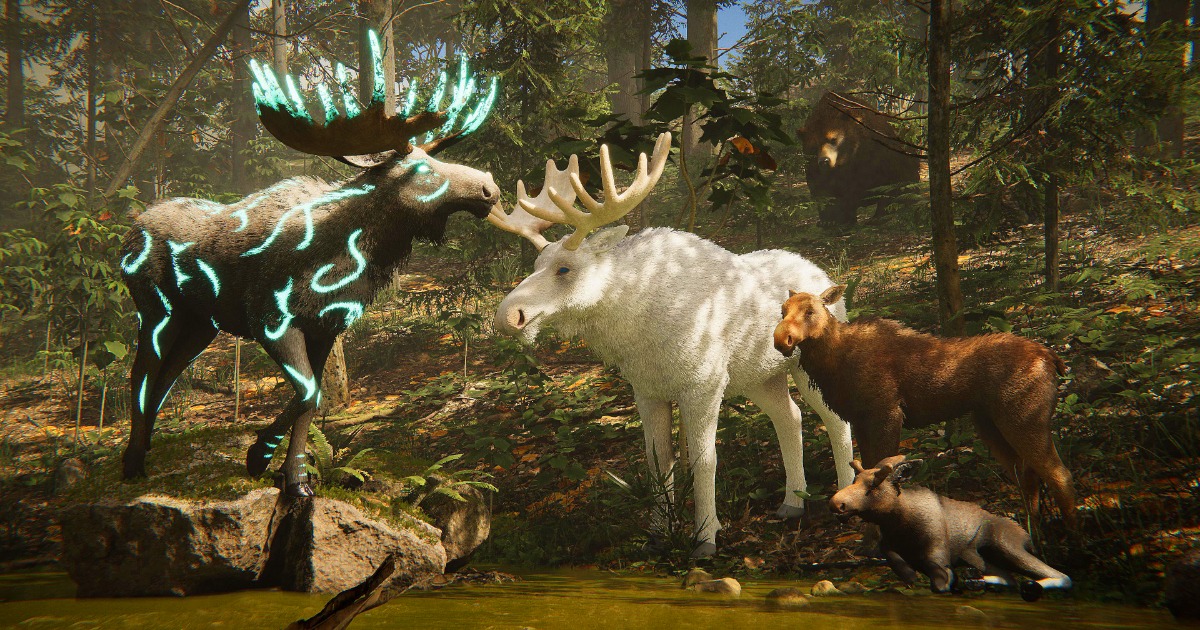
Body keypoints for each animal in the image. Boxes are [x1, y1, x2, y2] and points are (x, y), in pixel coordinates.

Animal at [119, 32, 504, 497]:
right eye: (419, 168)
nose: (490, 187)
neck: (348, 256)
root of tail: (130, 230)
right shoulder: (270, 319)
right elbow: (306, 394)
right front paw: (258, 457)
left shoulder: (326, 328)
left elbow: (313, 400)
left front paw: (296, 478)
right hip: (157, 310)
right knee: (141, 374)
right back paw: (132, 463)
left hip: (200, 325)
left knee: (164, 379)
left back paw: (147, 450)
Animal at [486, 133, 857, 557]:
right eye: (534, 266)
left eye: (565, 268)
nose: (507, 316)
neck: (634, 330)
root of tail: (829, 283)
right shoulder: (647, 390)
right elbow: (658, 462)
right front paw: (658, 532)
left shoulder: (703, 384)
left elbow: (704, 460)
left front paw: (706, 537)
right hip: (760, 376)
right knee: (790, 417)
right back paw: (793, 501)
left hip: (807, 366)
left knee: (836, 418)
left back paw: (844, 493)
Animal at [773, 286, 1076, 527]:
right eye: (782, 310)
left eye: (810, 311)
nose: (781, 339)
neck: (833, 363)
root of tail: (1052, 357)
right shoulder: (860, 419)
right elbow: (867, 468)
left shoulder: (886, 412)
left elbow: (881, 472)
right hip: (990, 424)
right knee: (1027, 475)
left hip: (1025, 417)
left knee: (1059, 474)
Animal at [829, 455, 1072, 601]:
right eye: (855, 480)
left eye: (874, 486)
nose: (836, 504)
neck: (898, 523)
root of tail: (1027, 536)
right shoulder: (890, 547)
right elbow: (901, 567)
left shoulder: (938, 557)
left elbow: (940, 582)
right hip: (988, 558)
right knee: (1009, 579)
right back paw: (978, 581)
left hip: (1006, 547)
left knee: (1062, 576)